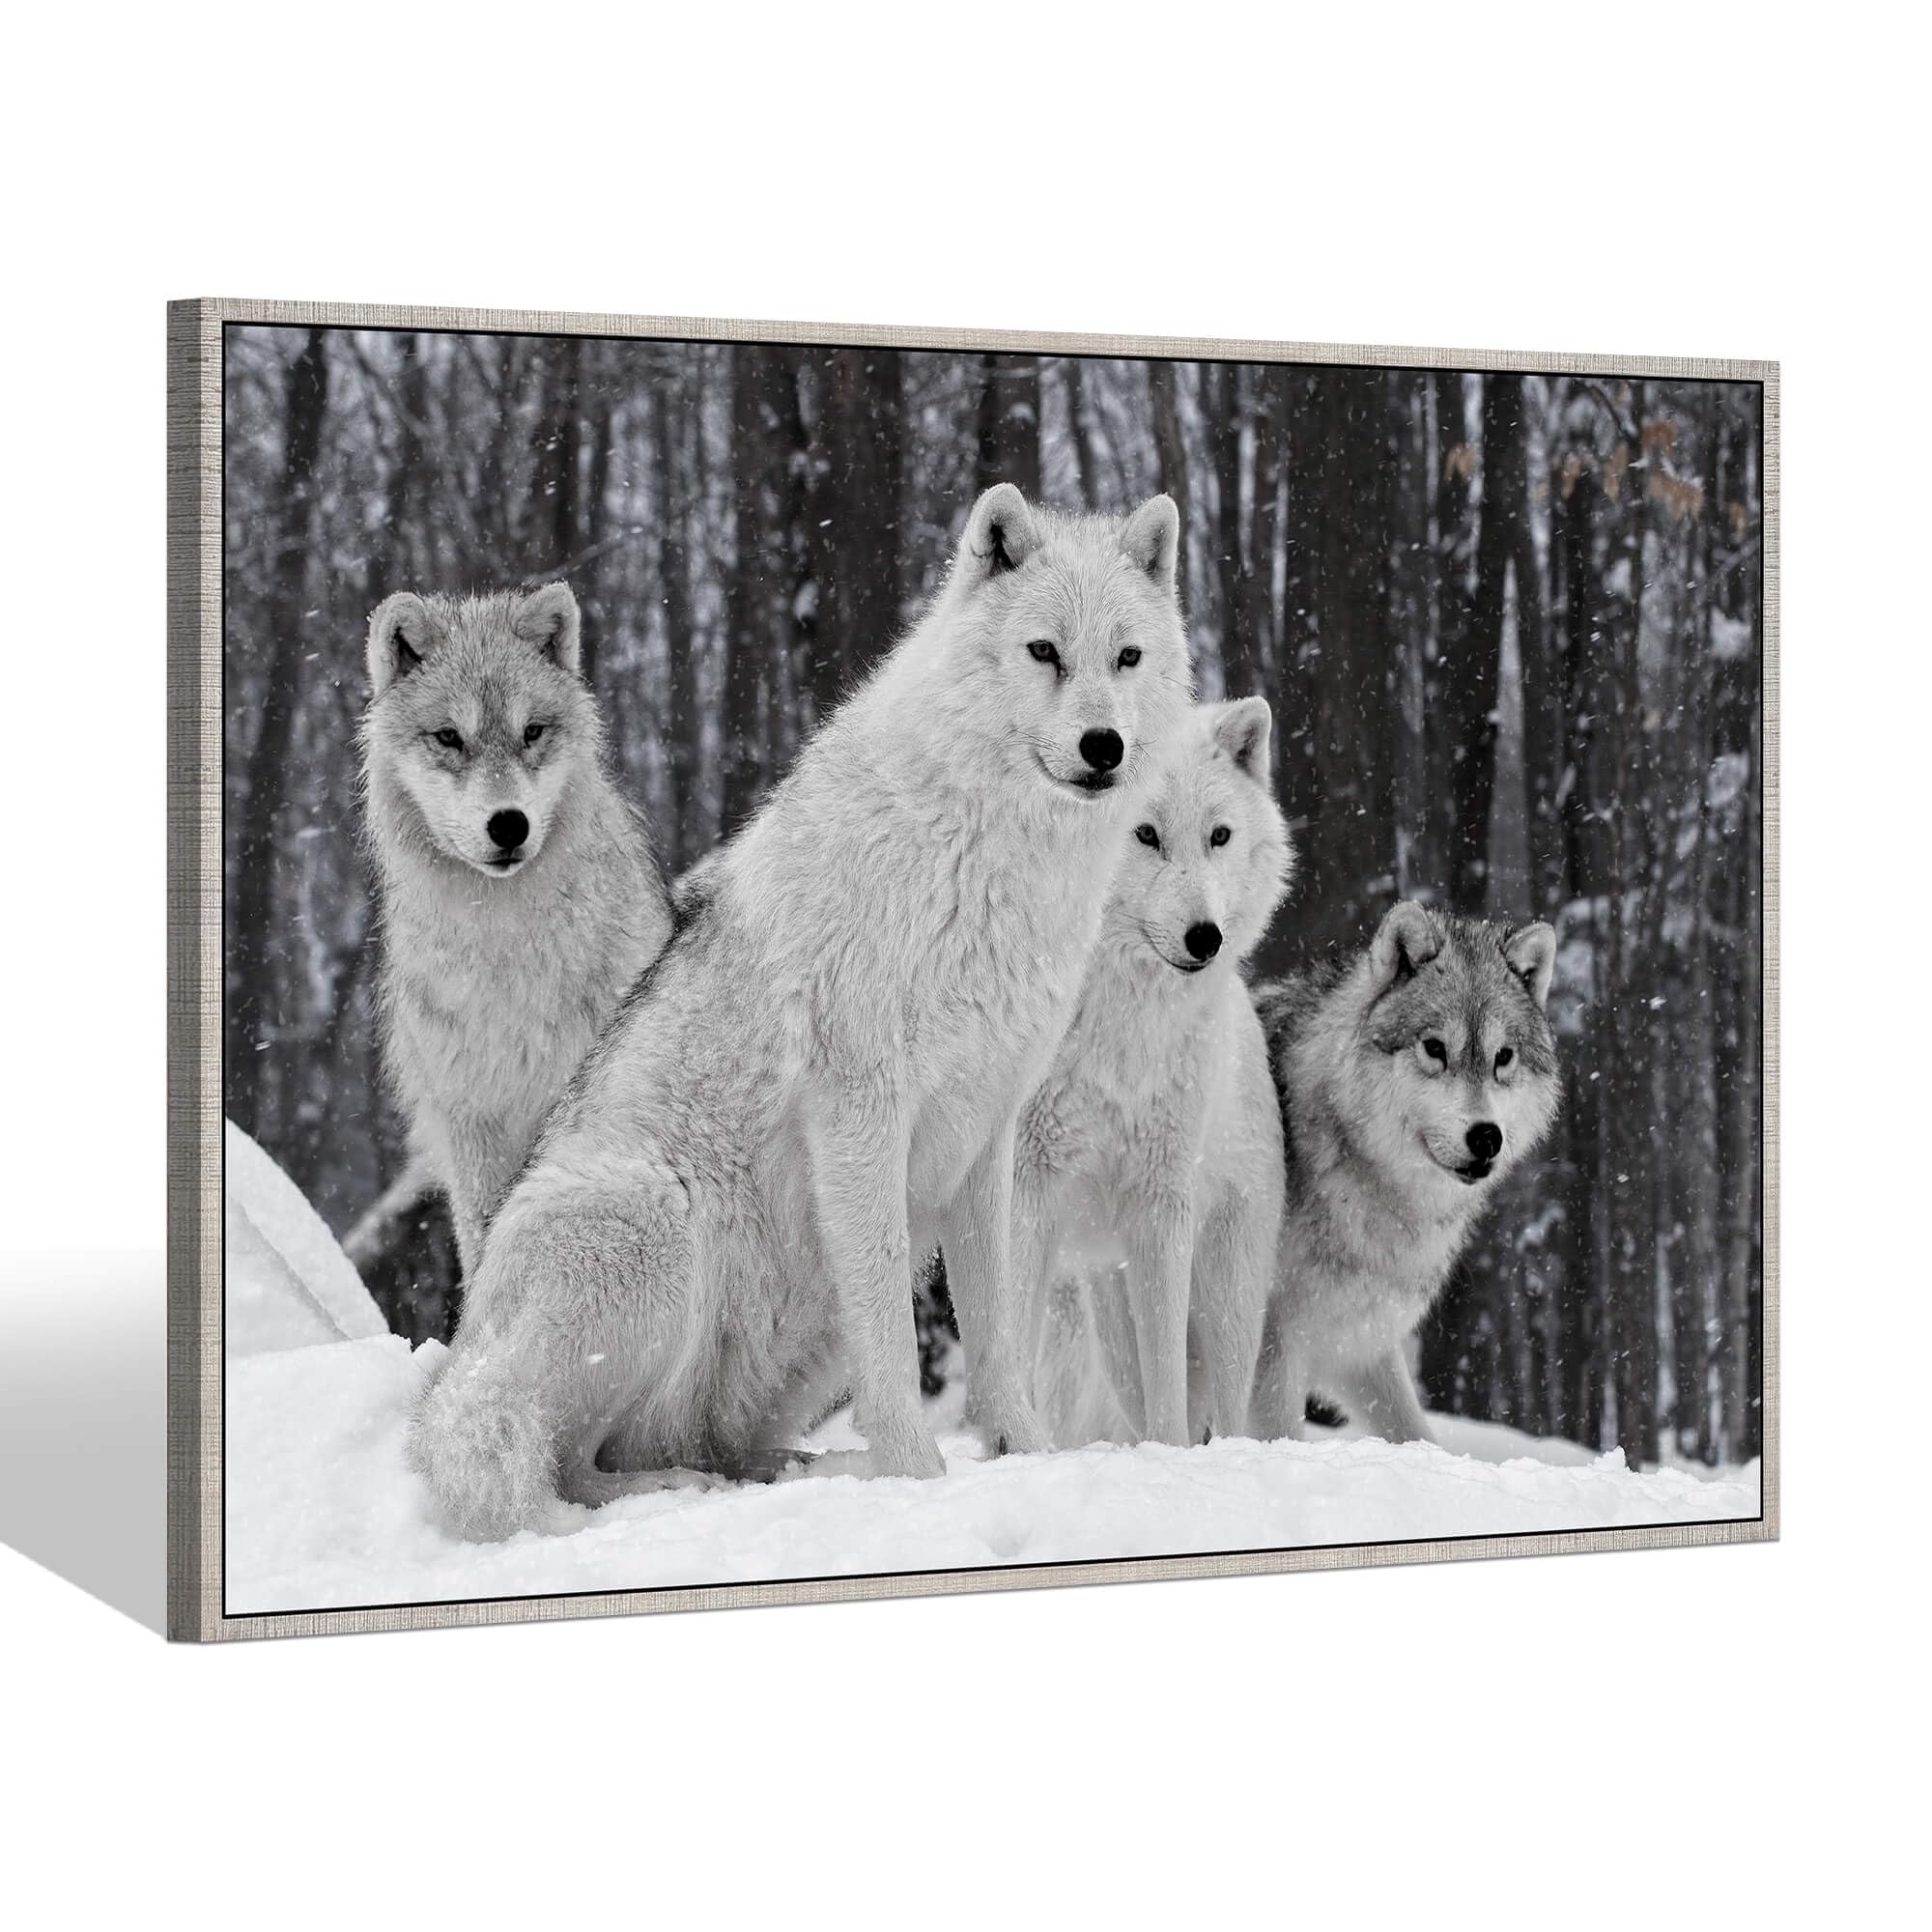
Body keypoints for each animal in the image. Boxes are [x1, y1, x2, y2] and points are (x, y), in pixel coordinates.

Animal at [410, 486, 1195, 1538]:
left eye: (1126, 657)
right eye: (1043, 651)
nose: (1102, 747)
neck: (988, 858)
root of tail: (455, 1368)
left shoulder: (986, 1132)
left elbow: (996, 1336)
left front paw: (1025, 1456)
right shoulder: (860, 1112)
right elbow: (893, 1340)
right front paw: (916, 1479)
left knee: (695, 1443)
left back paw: (790, 1472)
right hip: (651, 1221)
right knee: (569, 1463)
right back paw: (692, 1493)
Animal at [1018, 698, 1292, 1450]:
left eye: (1219, 836)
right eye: (1143, 833)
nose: (1206, 938)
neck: (1117, 1027)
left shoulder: (1162, 1207)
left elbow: (1169, 1385)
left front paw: (1168, 1463)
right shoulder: (1024, 1193)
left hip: (1227, 1294)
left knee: (1225, 1408)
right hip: (1104, 1310)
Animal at [1247, 902, 1560, 1445]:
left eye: (1503, 1057)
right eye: (1435, 1048)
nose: (1486, 1137)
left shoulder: (1360, 1345)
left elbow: (1416, 1434)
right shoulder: (1271, 1347)